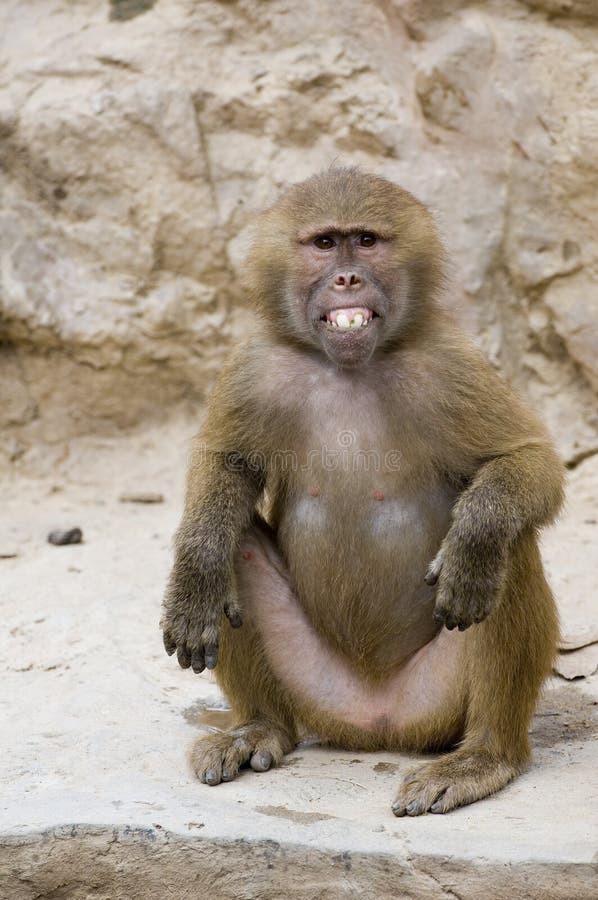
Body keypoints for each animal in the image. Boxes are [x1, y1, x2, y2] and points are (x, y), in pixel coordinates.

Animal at [160, 168, 564, 815]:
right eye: (326, 244)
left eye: (367, 241)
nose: (347, 277)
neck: (350, 366)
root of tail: (375, 725)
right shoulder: (254, 367)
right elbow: (227, 465)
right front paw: (194, 579)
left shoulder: (451, 364)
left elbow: (530, 461)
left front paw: (474, 542)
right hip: (316, 692)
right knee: (237, 541)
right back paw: (258, 728)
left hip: (436, 703)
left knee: (512, 546)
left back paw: (485, 757)